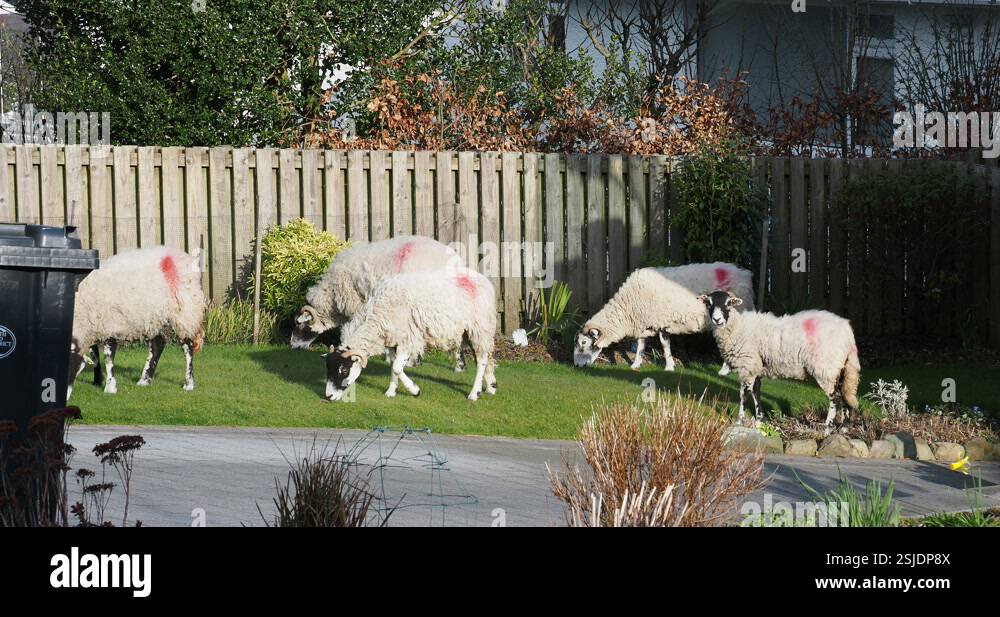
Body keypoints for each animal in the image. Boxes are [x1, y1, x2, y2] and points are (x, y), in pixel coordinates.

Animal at [68, 246, 207, 398]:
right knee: (158, 344)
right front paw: (97, 381)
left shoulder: (109, 323)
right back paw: (145, 380)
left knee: (187, 346)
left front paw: (110, 387)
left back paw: (189, 383)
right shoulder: (92, 325)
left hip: (184, 311)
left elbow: (108, 356)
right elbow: (95, 355)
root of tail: (183, 255)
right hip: (154, 315)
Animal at [323, 267, 497, 402]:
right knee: (487, 358)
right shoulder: (392, 340)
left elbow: (397, 368)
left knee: (482, 360)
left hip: (480, 328)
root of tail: (486, 282)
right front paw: (391, 391)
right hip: (471, 332)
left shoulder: (408, 339)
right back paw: (491, 387)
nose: (328, 397)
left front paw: (415, 390)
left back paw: (474, 393)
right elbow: (393, 366)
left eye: (344, 370)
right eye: (328, 369)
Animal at [573, 262, 755, 374]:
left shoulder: (661, 321)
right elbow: (641, 345)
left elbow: (664, 345)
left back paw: (725, 370)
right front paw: (635, 364)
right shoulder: (645, 322)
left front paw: (669, 366)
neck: (626, 308)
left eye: (584, 343)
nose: (576, 366)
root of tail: (745, 274)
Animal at [698, 290, 861, 430]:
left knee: (835, 398)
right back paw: (845, 427)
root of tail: (847, 332)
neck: (737, 327)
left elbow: (743, 394)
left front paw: (739, 420)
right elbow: (756, 392)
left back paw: (828, 427)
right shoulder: (756, 368)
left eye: (728, 303)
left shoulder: (747, 366)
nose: (717, 320)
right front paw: (760, 420)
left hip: (825, 368)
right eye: (709, 303)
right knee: (845, 393)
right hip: (842, 368)